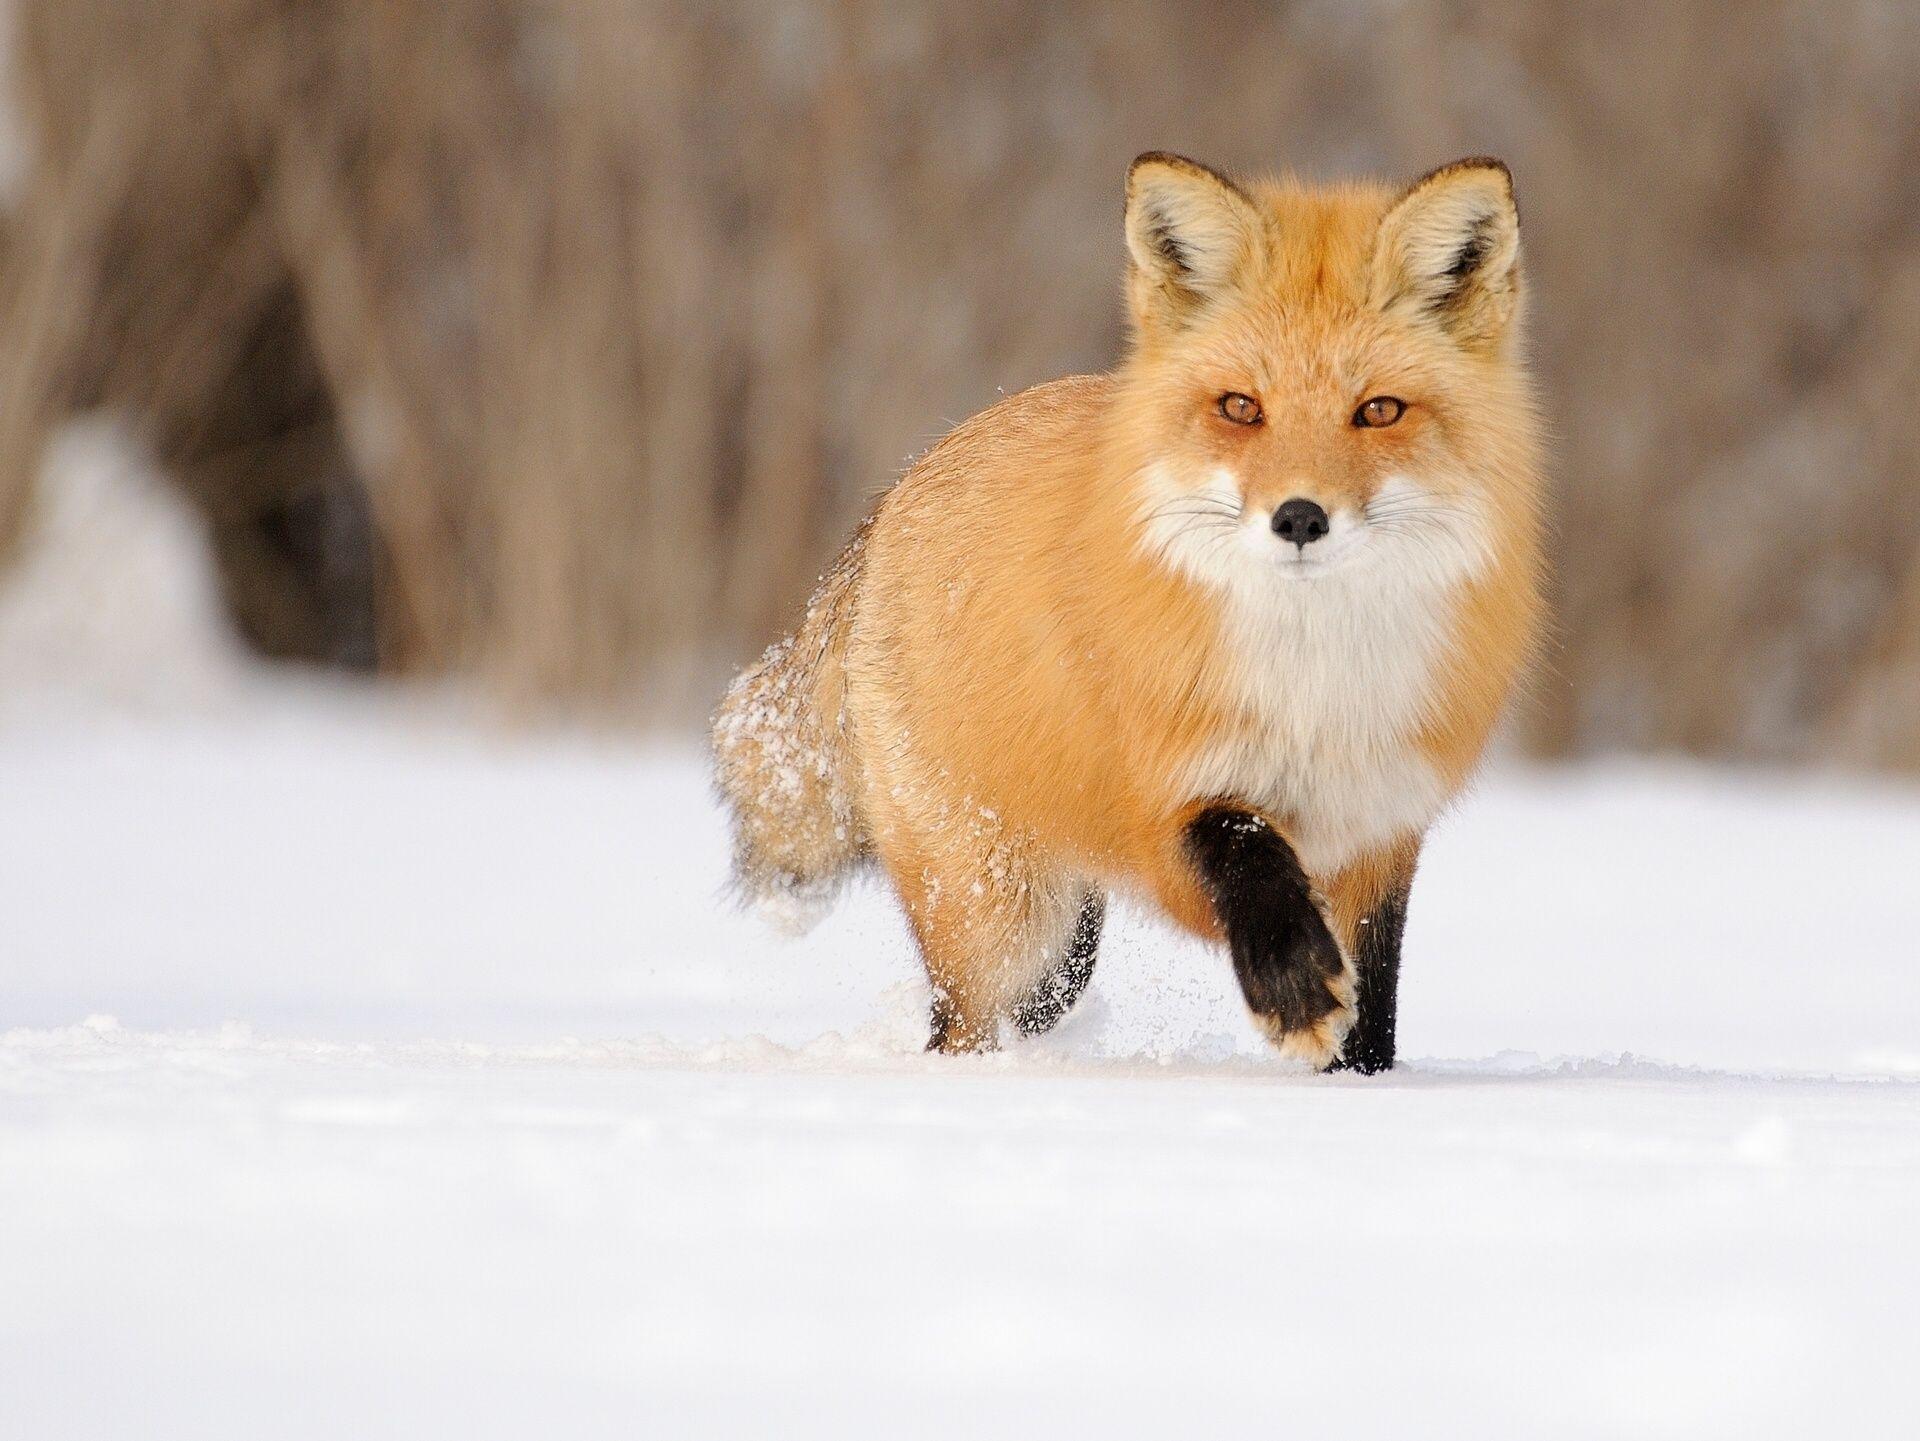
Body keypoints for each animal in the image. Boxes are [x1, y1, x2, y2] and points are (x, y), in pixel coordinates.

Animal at [712, 152, 1544, 1072]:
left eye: (1379, 411)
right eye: (1241, 408)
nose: (1298, 518)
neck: (1313, 689)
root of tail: (899, 489)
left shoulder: (1380, 830)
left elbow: (1374, 1014)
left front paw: (1358, 1080)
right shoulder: (1163, 800)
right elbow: (1245, 846)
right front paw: (1292, 988)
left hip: (1061, 951)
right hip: (1000, 918)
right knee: (958, 1026)